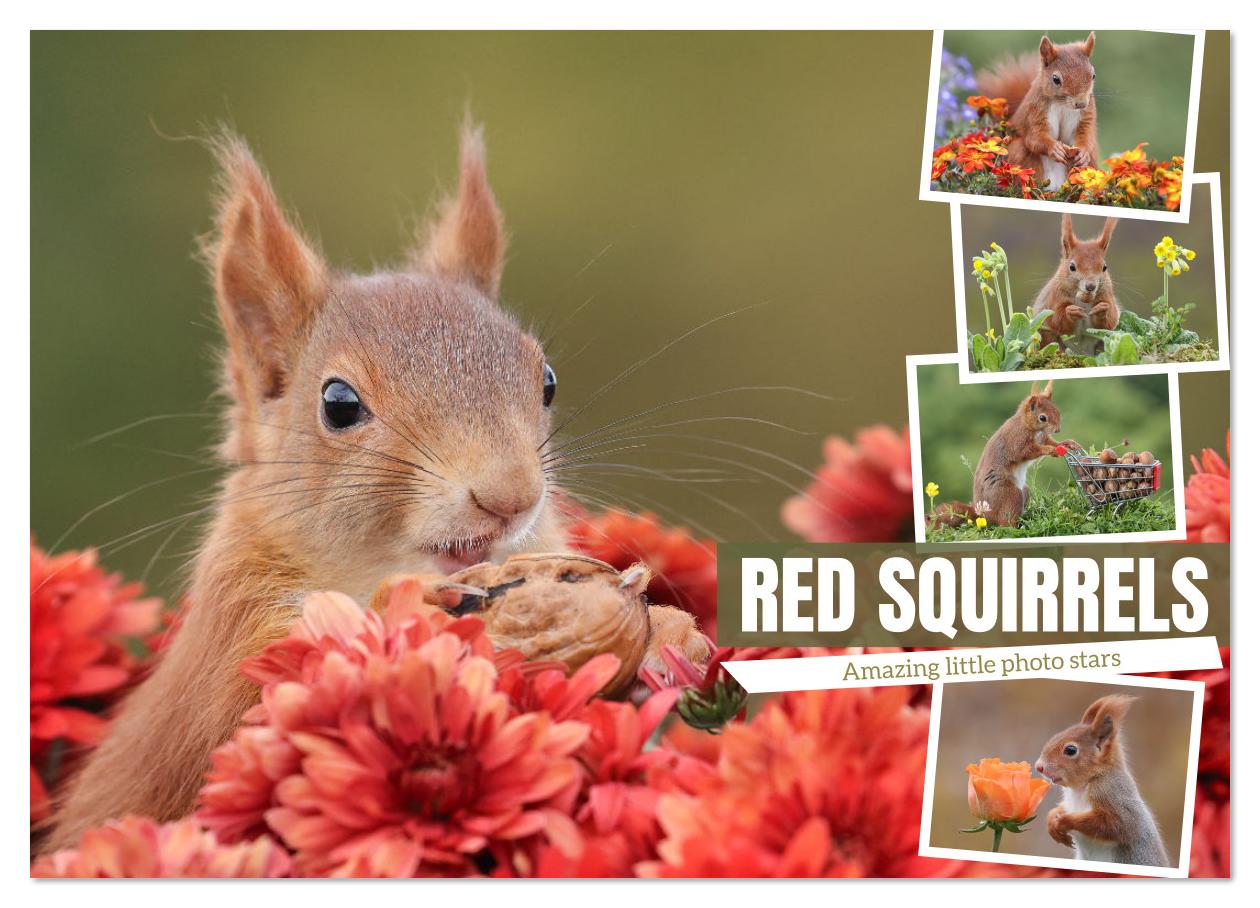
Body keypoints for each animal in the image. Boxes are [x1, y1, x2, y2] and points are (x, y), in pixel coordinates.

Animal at [45, 126, 707, 850]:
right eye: (337, 404)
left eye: (548, 381)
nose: (509, 497)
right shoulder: (228, 651)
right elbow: (238, 733)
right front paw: (402, 606)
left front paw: (673, 632)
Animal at [929, 380, 1078, 529]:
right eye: (1042, 418)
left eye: (1057, 411)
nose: (1058, 430)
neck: (1029, 427)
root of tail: (982, 515)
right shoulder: (1017, 442)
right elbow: (1027, 452)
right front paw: (1050, 450)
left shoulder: (1043, 437)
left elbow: (1053, 442)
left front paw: (1068, 444)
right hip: (1010, 494)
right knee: (1005, 522)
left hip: (1025, 490)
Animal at [977, 33, 1099, 190]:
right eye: (1056, 79)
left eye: (1093, 75)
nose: (1081, 103)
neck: (1062, 105)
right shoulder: (1034, 112)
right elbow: (1035, 138)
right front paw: (1054, 148)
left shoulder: (1086, 116)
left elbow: (1086, 135)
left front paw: (1083, 152)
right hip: (1019, 154)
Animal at [1033, 214, 1120, 354]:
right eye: (1072, 267)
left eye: (1104, 267)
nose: (1090, 286)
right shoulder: (1054, 298)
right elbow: (1056, 319)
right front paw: (1071, 311)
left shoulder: (1107, 296)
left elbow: (1110, 320)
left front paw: (1102, 308)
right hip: (1048, 338)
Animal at [1036, 695, 1171, 867]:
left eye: (1071, 750)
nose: (1039, 766)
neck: (1080, 787)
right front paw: (1052, 820)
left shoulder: (1111, 793)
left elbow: (1116, 825)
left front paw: (1064, 820)